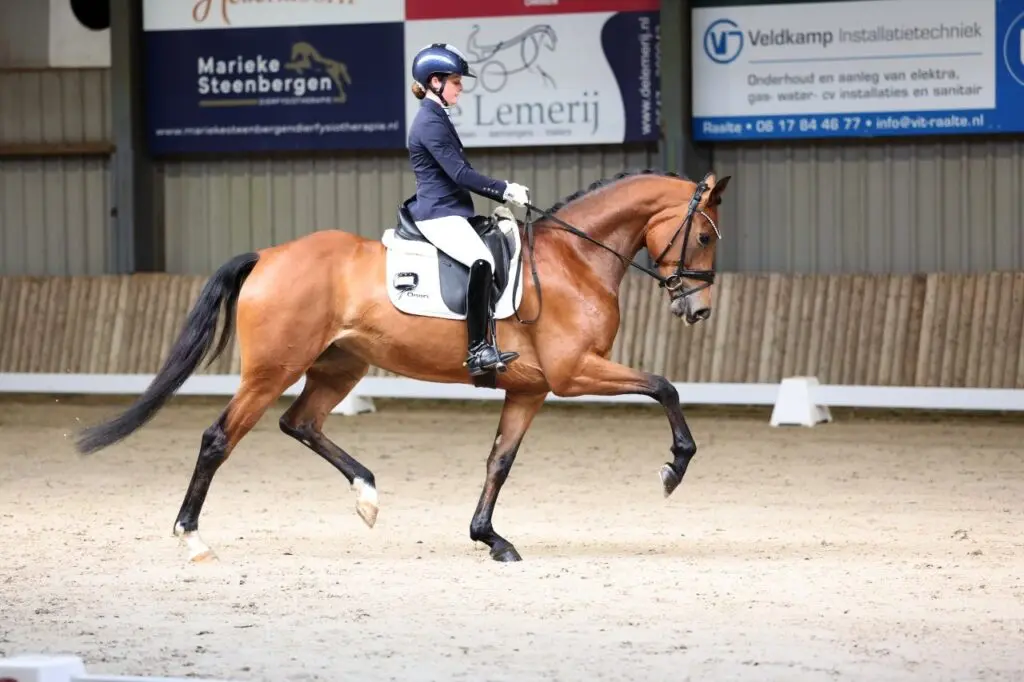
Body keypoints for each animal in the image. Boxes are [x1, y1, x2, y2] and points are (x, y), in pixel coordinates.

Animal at [74, 168, 732, 564]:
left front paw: (489, 538)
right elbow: (665, 387)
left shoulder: (532, 390)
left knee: (301, 423)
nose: (696, 309)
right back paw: (192, 539)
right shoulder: (576, 373)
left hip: (338, 367)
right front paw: (674, 468)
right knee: (219, 438)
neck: (574, 259)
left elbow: (499, 462)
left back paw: (367, 495)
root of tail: (269, 255)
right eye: (702, 236)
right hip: (271, 370)